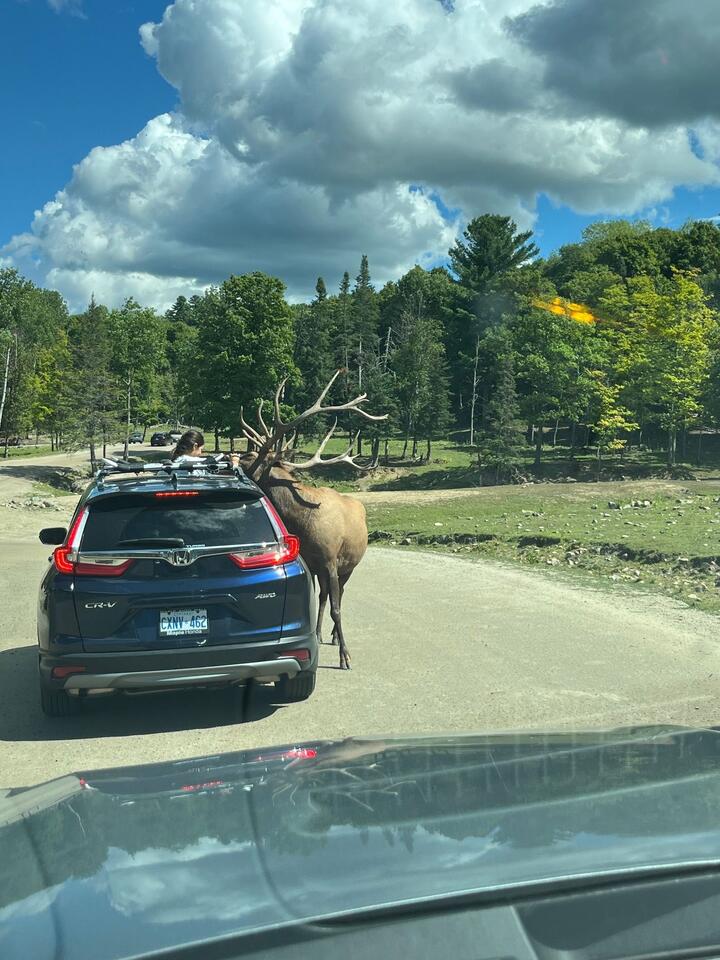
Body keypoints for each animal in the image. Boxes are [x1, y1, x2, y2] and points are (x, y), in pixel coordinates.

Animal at [239, 371, 386, 671]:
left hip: (349, 565)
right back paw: (319, 632)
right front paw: (318, 636)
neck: (302, 522)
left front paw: (345, 655)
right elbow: (317, 598)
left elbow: (337, 607)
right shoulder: (312, 562)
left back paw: (333, 634)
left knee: (340, 593)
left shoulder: (331, 561)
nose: (230, 458)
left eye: (250, 459)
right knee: (324, 596)